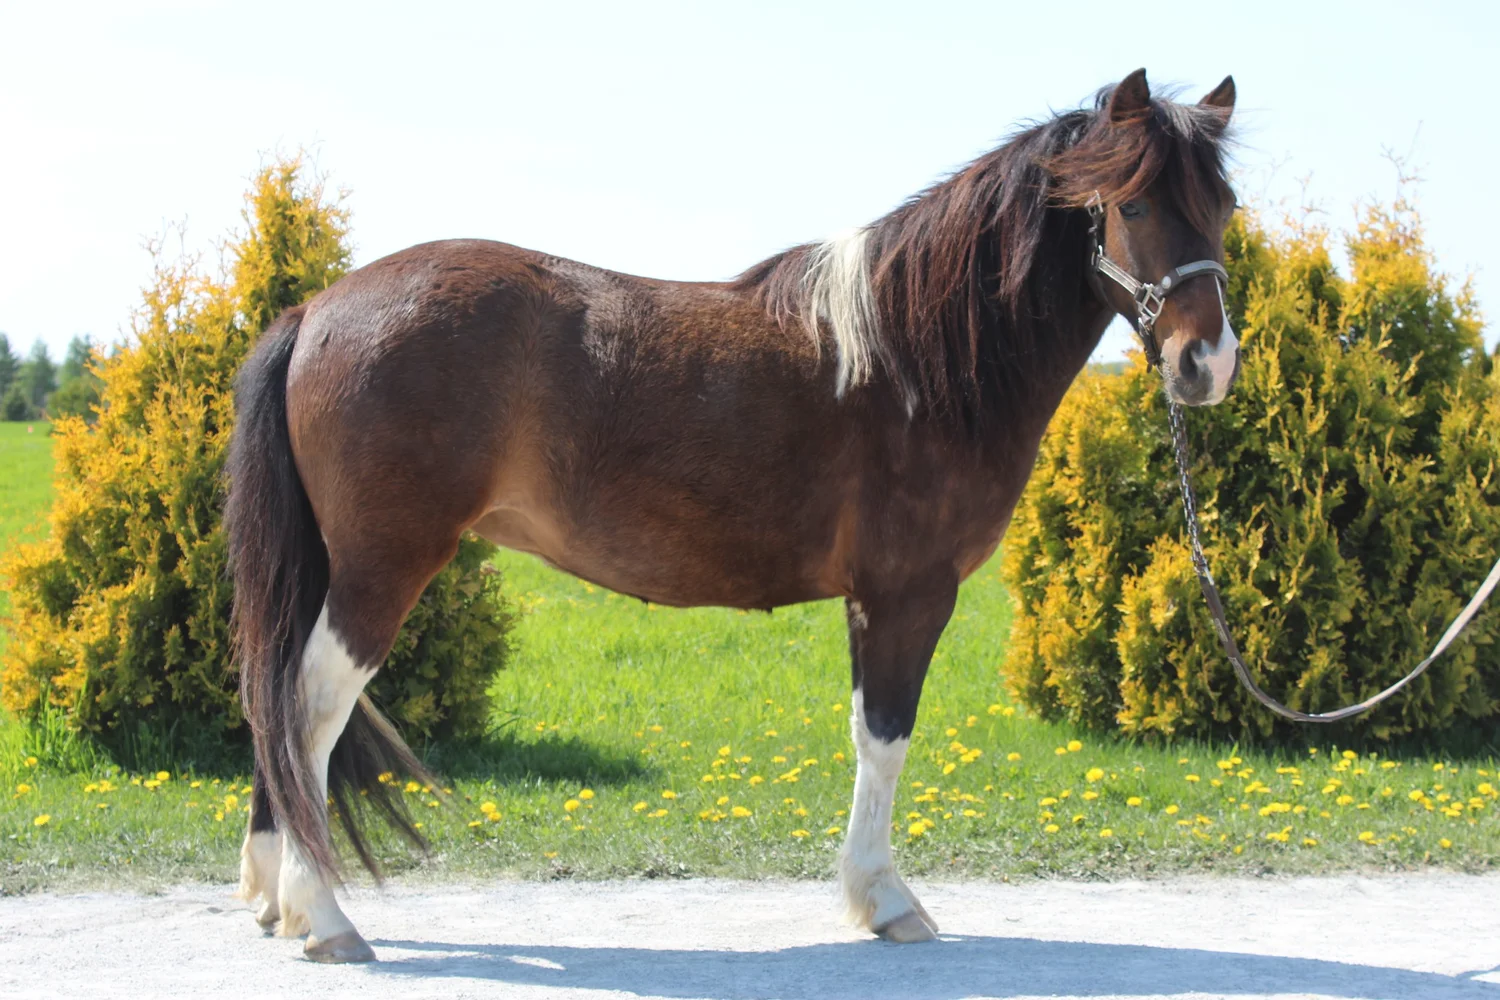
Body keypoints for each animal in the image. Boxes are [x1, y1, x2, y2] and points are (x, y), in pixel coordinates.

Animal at [225, 68, 1239, 962]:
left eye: (1224, 207)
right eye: (1134, 206)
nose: (1208, 363)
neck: (916, 359)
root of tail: (317, 310)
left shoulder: (875, 599)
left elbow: (870, 735)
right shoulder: (908, 594)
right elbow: (885, 741)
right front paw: (884, 899)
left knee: (272, 696)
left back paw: (276, 895)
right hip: (381, 567)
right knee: (308, 708)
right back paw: (327, 918)